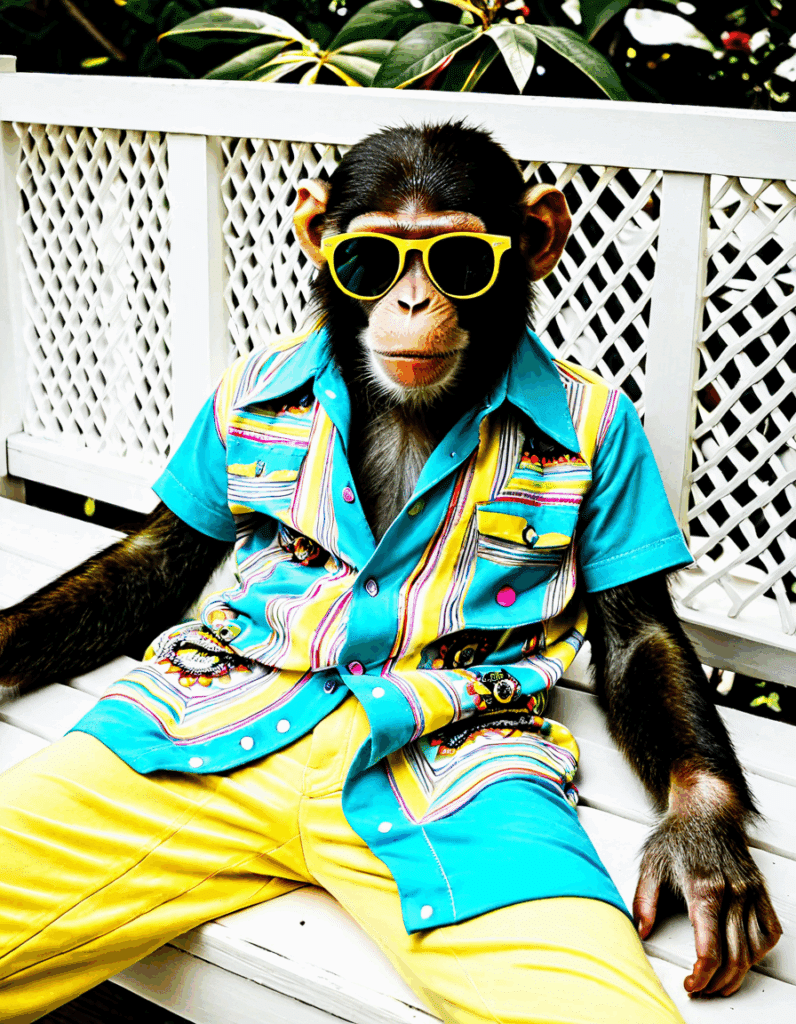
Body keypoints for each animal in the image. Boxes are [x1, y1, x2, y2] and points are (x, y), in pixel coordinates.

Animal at [0, 122, 781, 1021]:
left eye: (459, 261)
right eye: (369, 258)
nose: (410, 301)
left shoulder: (621, 440)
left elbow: (638, 636)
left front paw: (702, 833)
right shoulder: (231, 392)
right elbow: (162, 554)